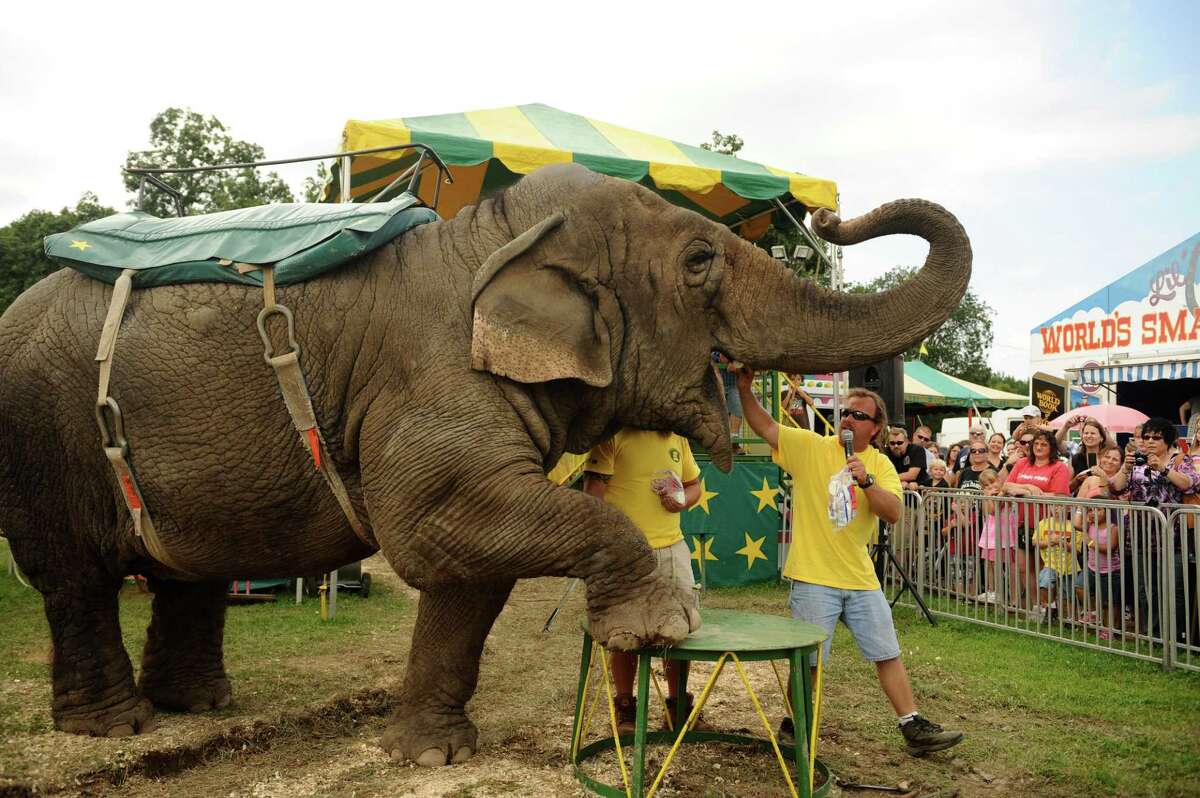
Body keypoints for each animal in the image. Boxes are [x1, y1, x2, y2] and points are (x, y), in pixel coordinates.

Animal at [0, 162, 970, 766]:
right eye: (699, 261)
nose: (829, 214)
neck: (493, 239)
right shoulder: (428, 384)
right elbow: (436, 528)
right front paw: (652, 628)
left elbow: (465, 570)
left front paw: (431, 753)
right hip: (45, 439)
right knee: (76, 580)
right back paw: (118, 728)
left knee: (190, 570)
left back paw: (199, 708)